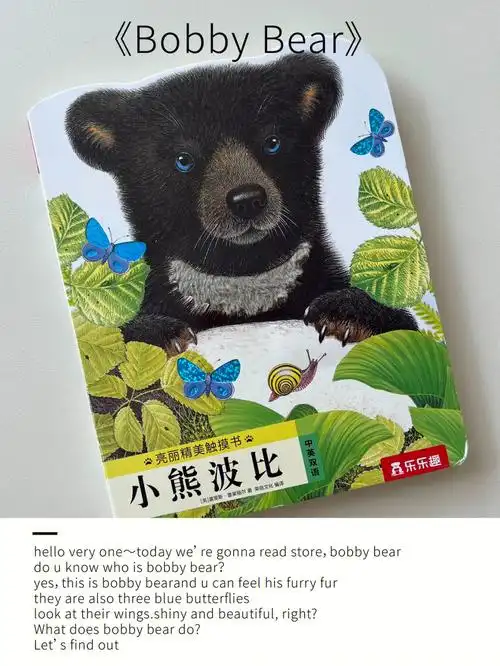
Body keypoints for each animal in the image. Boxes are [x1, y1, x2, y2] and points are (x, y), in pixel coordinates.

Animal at [65, 52, 417, 355]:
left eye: (272, 142)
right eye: (183, 159)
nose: (247, 200)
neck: (241, 283)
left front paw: (346, 313)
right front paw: (161, 332)